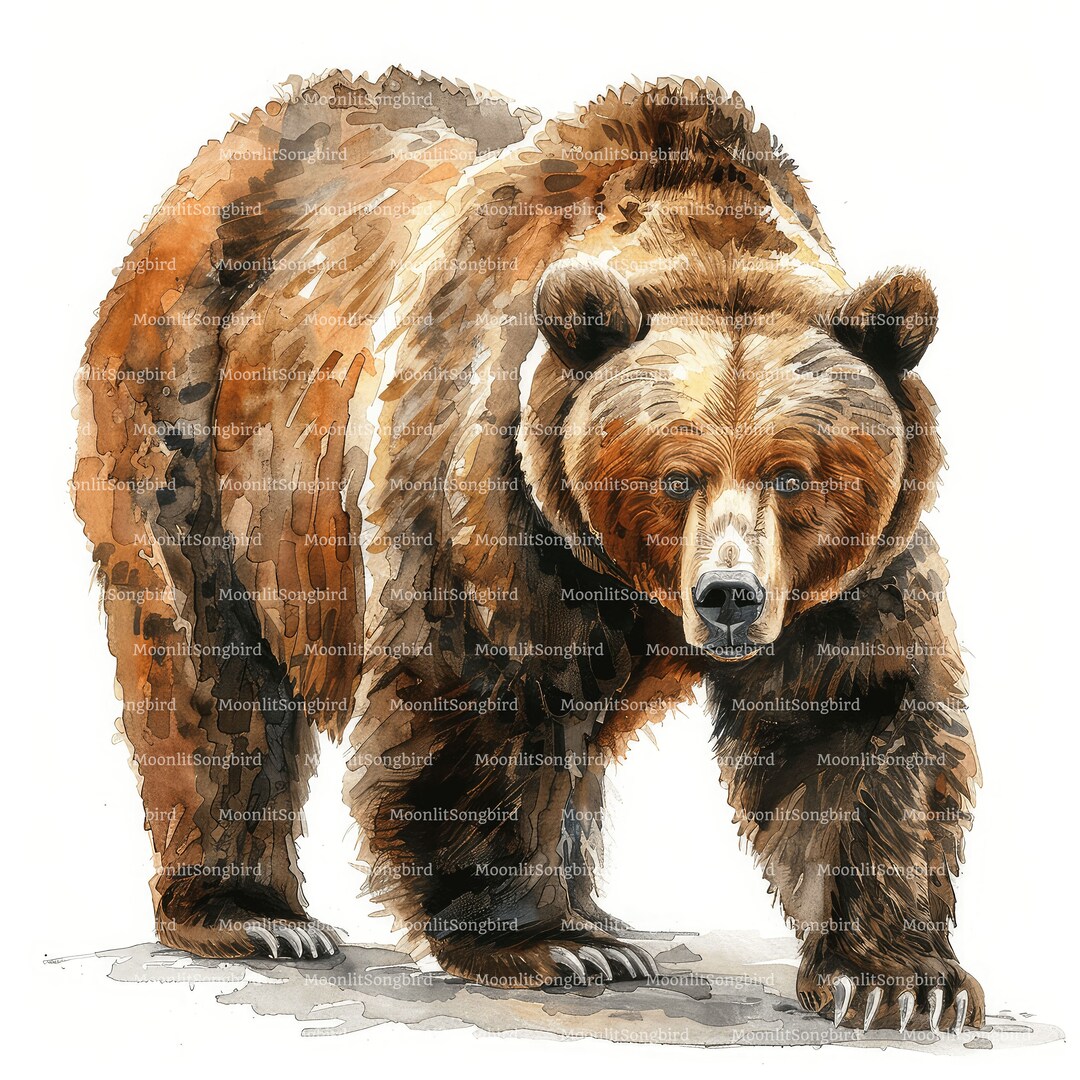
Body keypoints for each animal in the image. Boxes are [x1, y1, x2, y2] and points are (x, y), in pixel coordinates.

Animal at [73, 67, 983, 1033]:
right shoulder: (489, 471)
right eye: (675, 476)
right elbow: (483, 691)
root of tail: (221, 158)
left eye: (794, 475)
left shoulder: (848, 572)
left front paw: (899, 980)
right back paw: (256, 918)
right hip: (192, 416)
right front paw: (547, 943)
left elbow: (856, 716)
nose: (729, 596)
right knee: (208, 671)